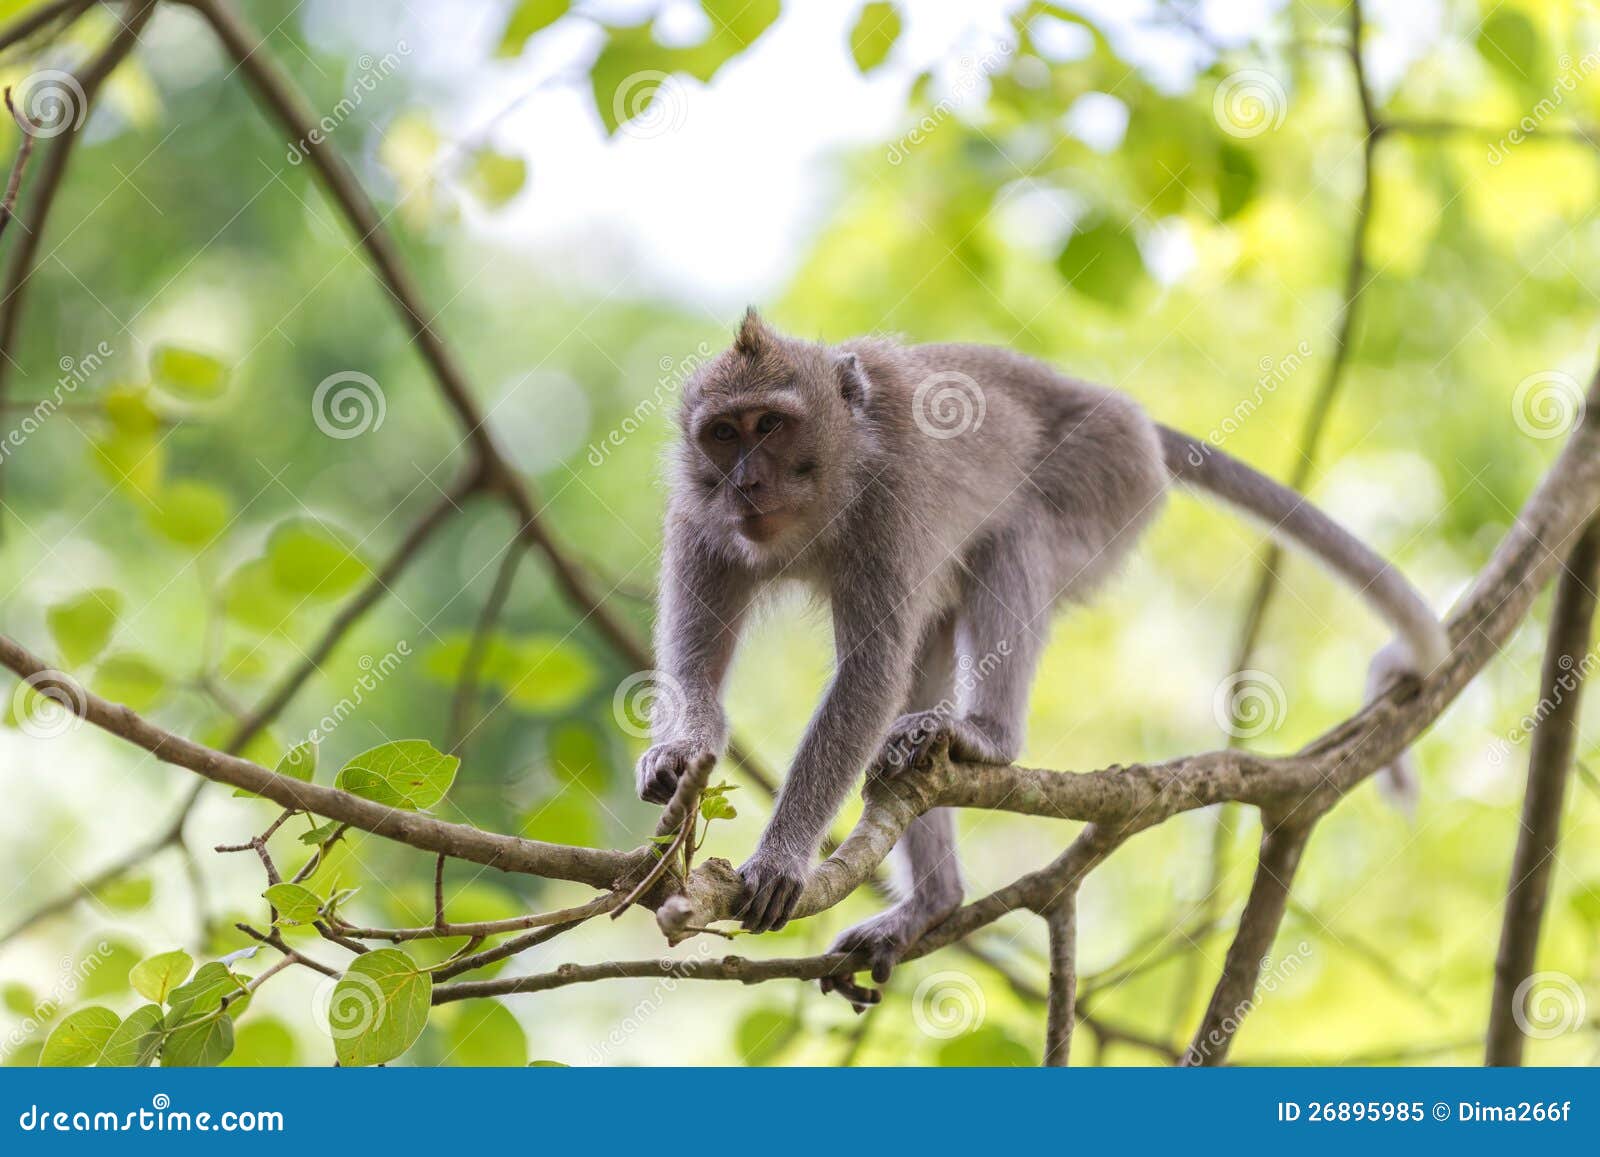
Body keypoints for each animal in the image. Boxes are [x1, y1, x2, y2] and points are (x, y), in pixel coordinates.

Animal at [635, 308, 1448, 999]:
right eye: (723, 433)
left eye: (771, 424)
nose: (746, 481)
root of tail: (1129, 416)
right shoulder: (697, 517)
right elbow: (695, 665)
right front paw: (680, 754)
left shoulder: (889, 502)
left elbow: (868, 676)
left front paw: (781, 855)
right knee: (922, 674)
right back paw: (935, 899)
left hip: (1106, 481)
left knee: (1015, 537)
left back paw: (986, 738)